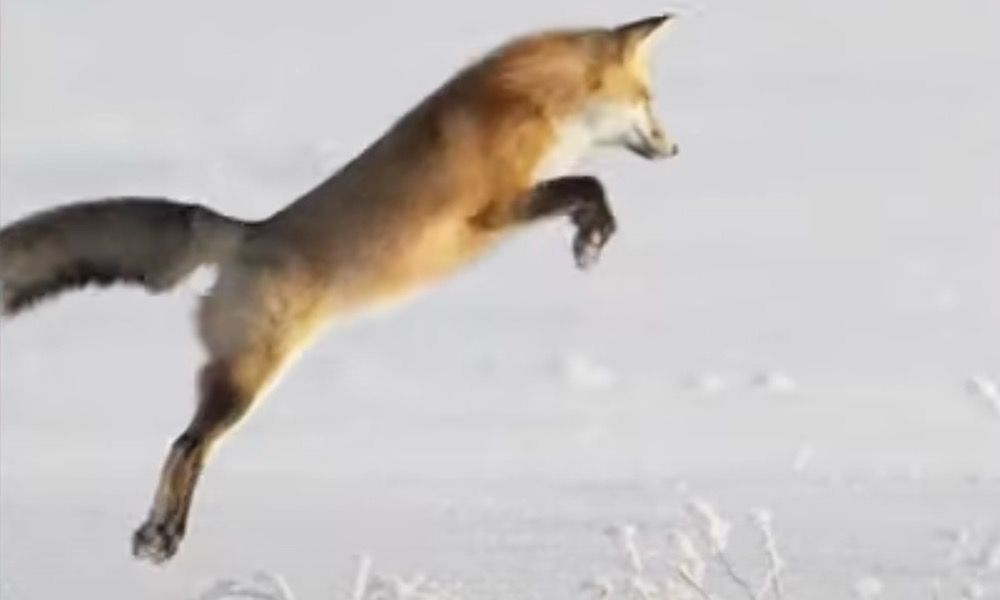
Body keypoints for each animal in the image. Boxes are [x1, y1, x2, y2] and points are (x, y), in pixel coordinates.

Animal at [0, 15, 679, 563]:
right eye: (648, 100)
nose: (675, 147)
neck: (534, 100)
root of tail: (248, 232)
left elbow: (585, 187)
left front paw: (590, 238)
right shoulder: (492, 209)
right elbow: (588, 184)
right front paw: (592, 236)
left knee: (187, 445)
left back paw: (155, 535)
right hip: (248, 379)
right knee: (187, 446)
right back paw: (161, 538)